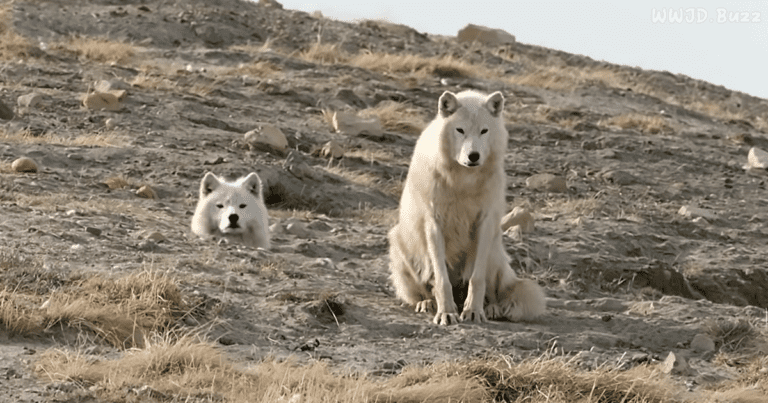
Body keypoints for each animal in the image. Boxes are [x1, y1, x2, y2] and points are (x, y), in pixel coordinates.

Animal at [388, 90, 546, 325]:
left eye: (484, 131)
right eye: (460, 130)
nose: (473, 156)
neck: (463, 180)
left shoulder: (484, 223)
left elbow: (476, 278)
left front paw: (473, 311)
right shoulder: (433, 224)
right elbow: (441, 279)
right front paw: (446, 312)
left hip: (494, 250)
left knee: (492, 292)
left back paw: (491, 308)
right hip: (401, 245)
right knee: (426, 288)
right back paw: (428, 304)